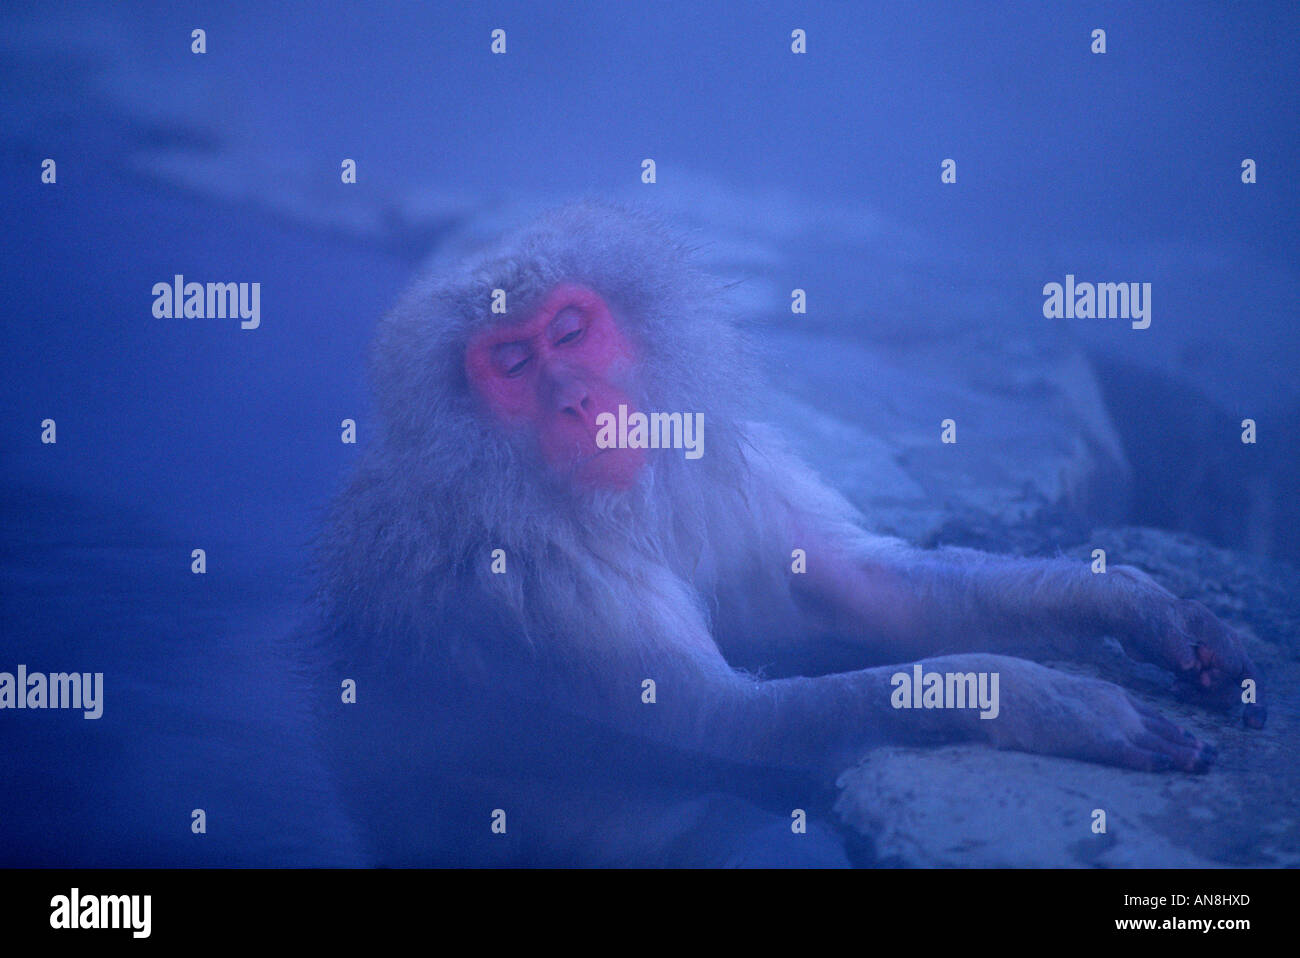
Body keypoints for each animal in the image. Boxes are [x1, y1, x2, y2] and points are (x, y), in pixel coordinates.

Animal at [312, 200, 1265, 866]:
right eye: (510, 365)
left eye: (570, 330)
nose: (574, 401)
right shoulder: (536, 580)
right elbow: (723, 727)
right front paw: (1042, 700)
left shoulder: (724, 480)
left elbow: (866, 593)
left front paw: (1139, 604)